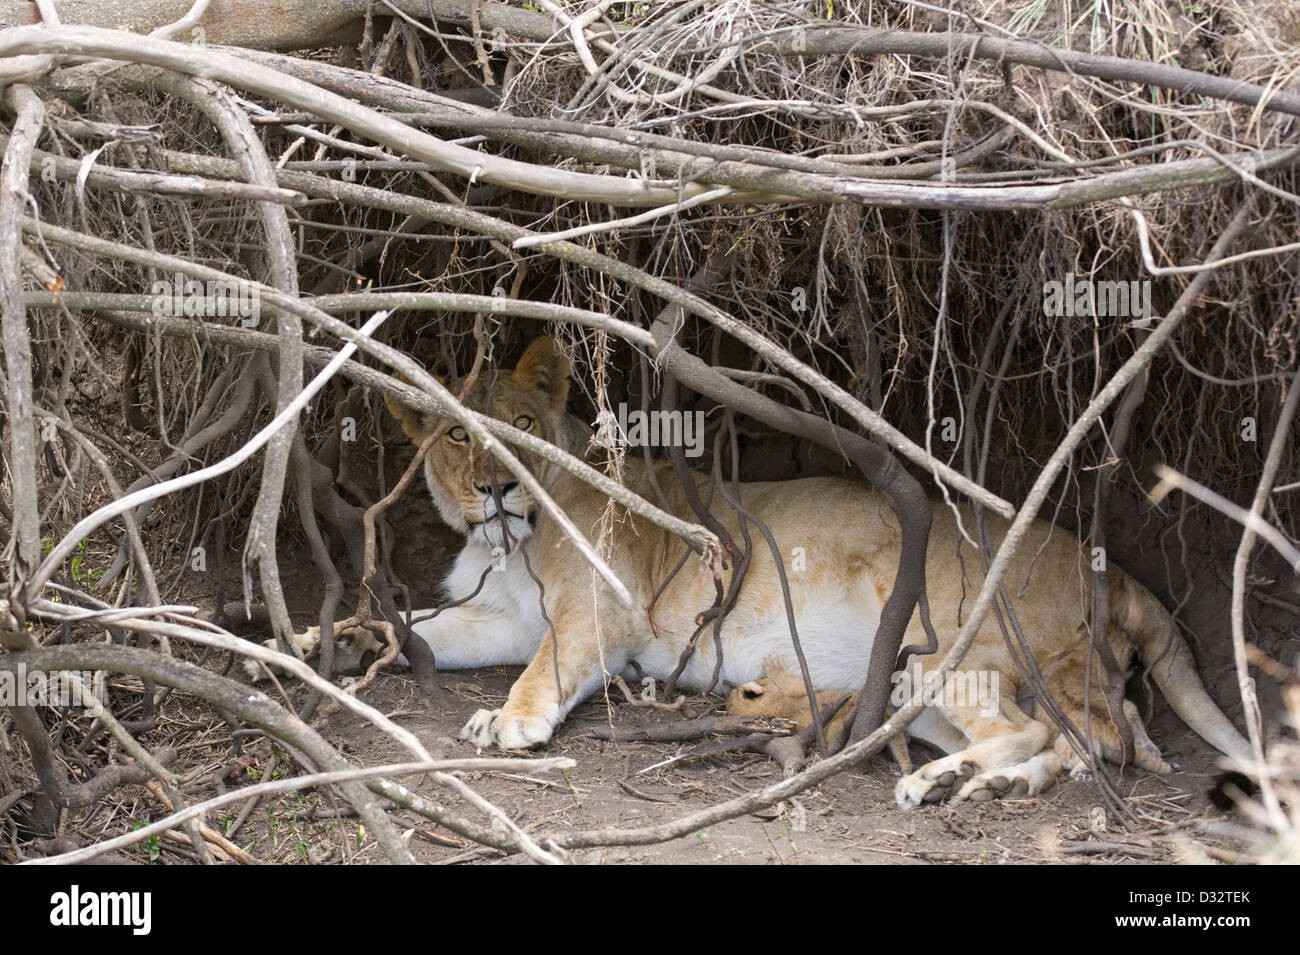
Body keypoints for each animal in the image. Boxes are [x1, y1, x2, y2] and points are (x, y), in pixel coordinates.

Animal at [287, 337, 1249, 807]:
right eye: (457, 435)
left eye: (521, 424)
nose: (496, 486)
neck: (508, 543)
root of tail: (1101, 558)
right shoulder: (500, 618)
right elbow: (417, 629)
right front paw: (320, 640)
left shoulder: (603, 614)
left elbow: (547, 666)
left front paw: (510, 721)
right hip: (908, 683)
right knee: (1062, 737)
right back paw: (980, 782)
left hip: (948, 644)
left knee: (1052, 730)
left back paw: (945, 782)